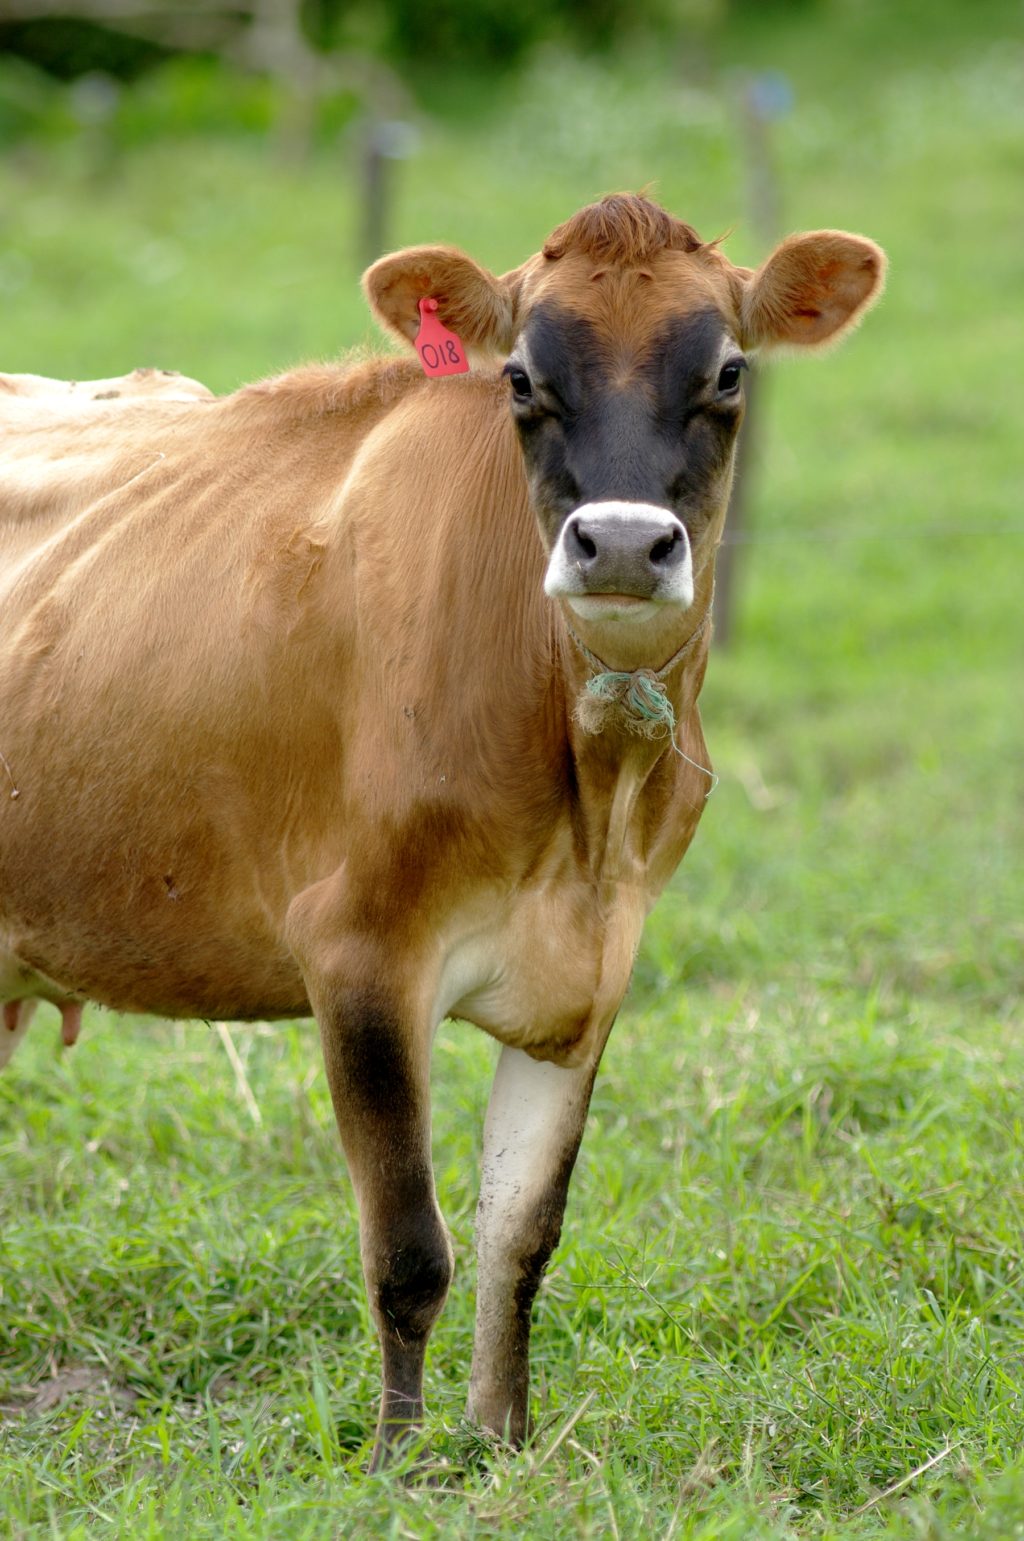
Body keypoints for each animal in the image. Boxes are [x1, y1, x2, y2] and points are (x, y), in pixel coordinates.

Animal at [0, 194, 885, 1468]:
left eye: (726, 370)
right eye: (519, 375)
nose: (623, 544)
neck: (587, 789)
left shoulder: (594, 974)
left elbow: (522, 1232)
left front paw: (502, 1440)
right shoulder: (358, 950)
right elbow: (412, 1248)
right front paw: (392, 1461)